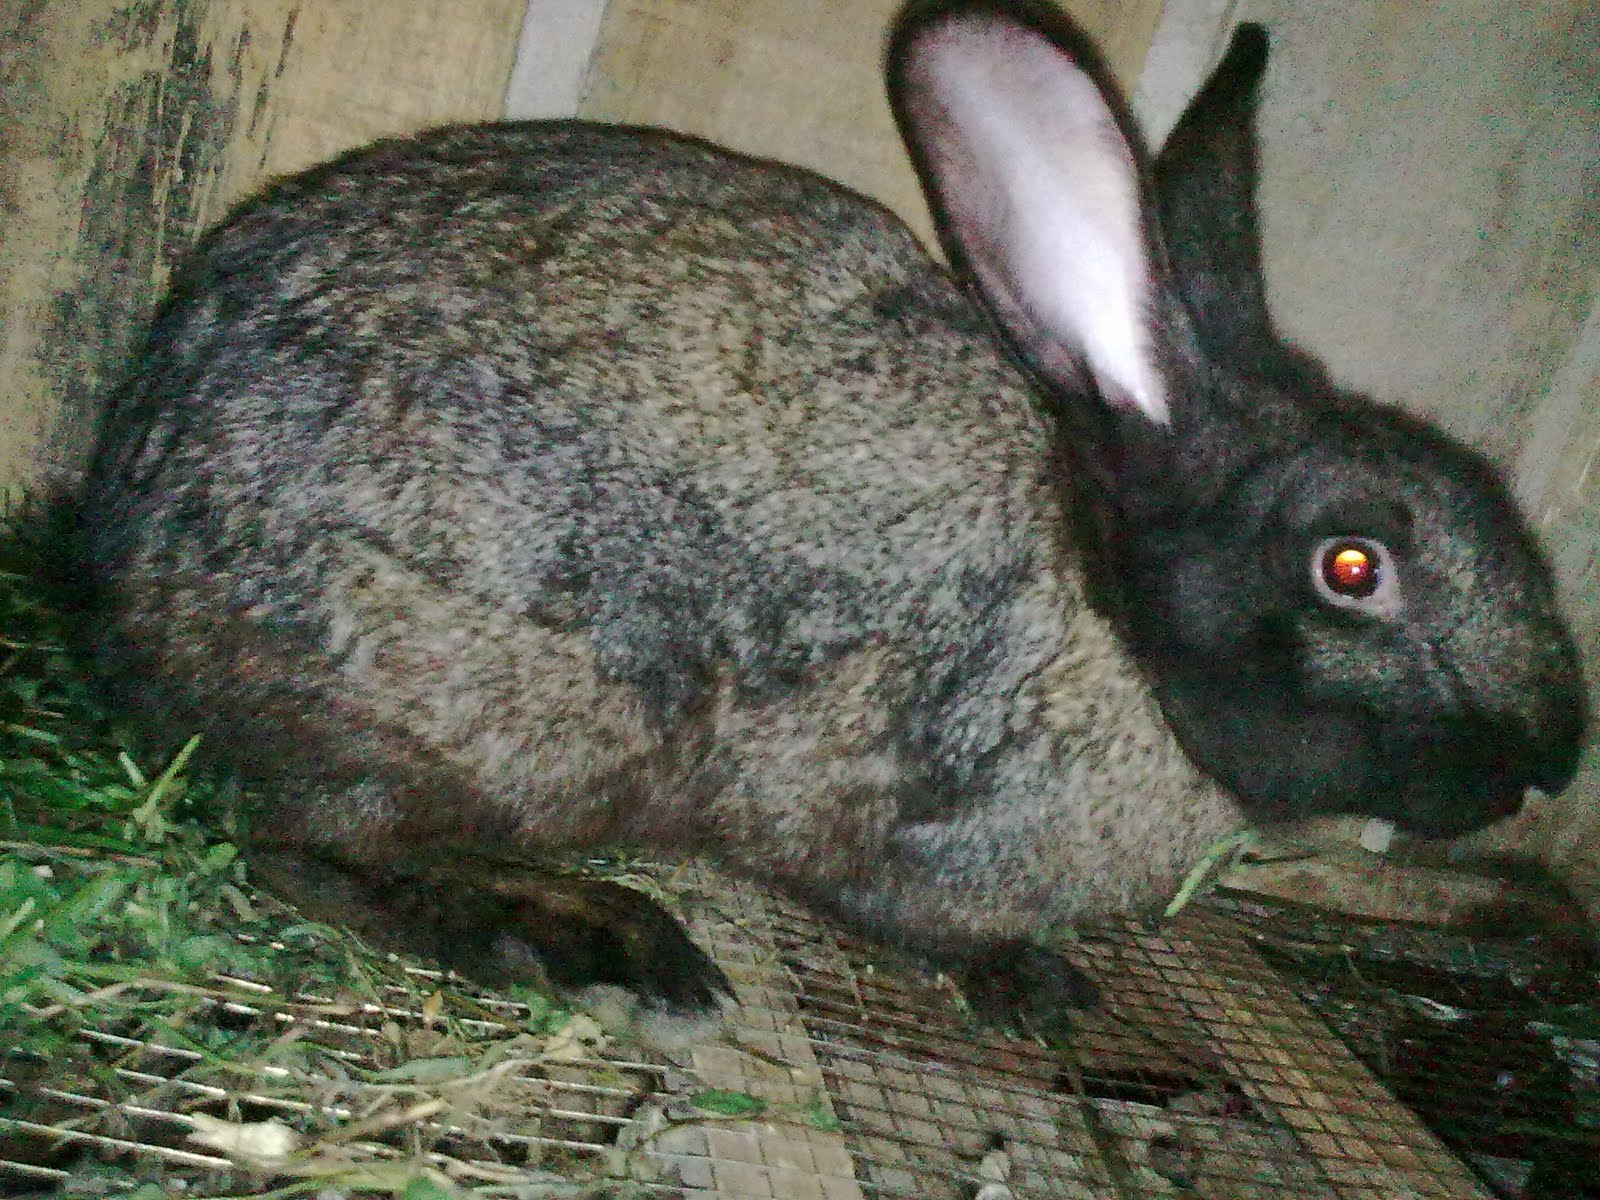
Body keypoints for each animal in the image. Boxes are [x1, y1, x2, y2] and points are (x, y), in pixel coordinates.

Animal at [78, 0, 1585, 1042]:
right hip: (492, 705)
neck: (1111, 620)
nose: (1549, 764)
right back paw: (594, 938)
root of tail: (121, 545)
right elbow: (905, 906)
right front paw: (1038, 985)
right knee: (303, 845)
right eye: (1352, 567)